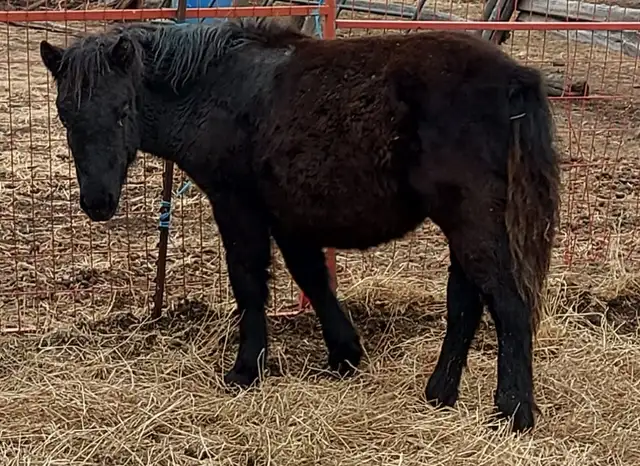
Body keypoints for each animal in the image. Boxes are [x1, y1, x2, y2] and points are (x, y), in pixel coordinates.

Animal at [39, 18, 560, 433]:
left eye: (122, 110)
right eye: (64, 113)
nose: (98, 203)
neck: (218, 88)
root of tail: (516, 77)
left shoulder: (239, 207)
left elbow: (250, 284)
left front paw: (246, 370)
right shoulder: (289, 218)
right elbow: (313, 278)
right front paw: (344, 355)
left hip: (474, 222)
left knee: (509, 305)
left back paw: (513, 413)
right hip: (463, 226)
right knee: (465, 306)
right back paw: (440, 395)